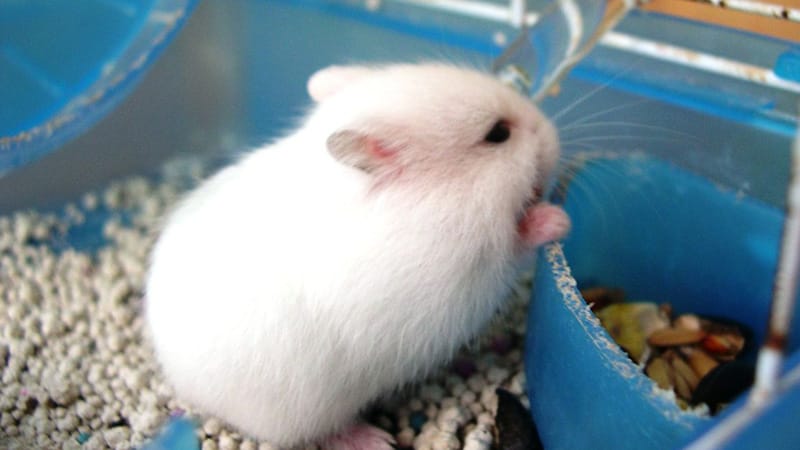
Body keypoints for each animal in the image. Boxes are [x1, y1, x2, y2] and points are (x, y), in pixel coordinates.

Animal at [145, 63, 570, 449]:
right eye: (497, 134)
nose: (554, 134)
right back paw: (375, 440)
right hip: (307, 411)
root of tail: (184, 386)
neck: (439, 196)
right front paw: (559, 220)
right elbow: (517, 243)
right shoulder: (474, 271)